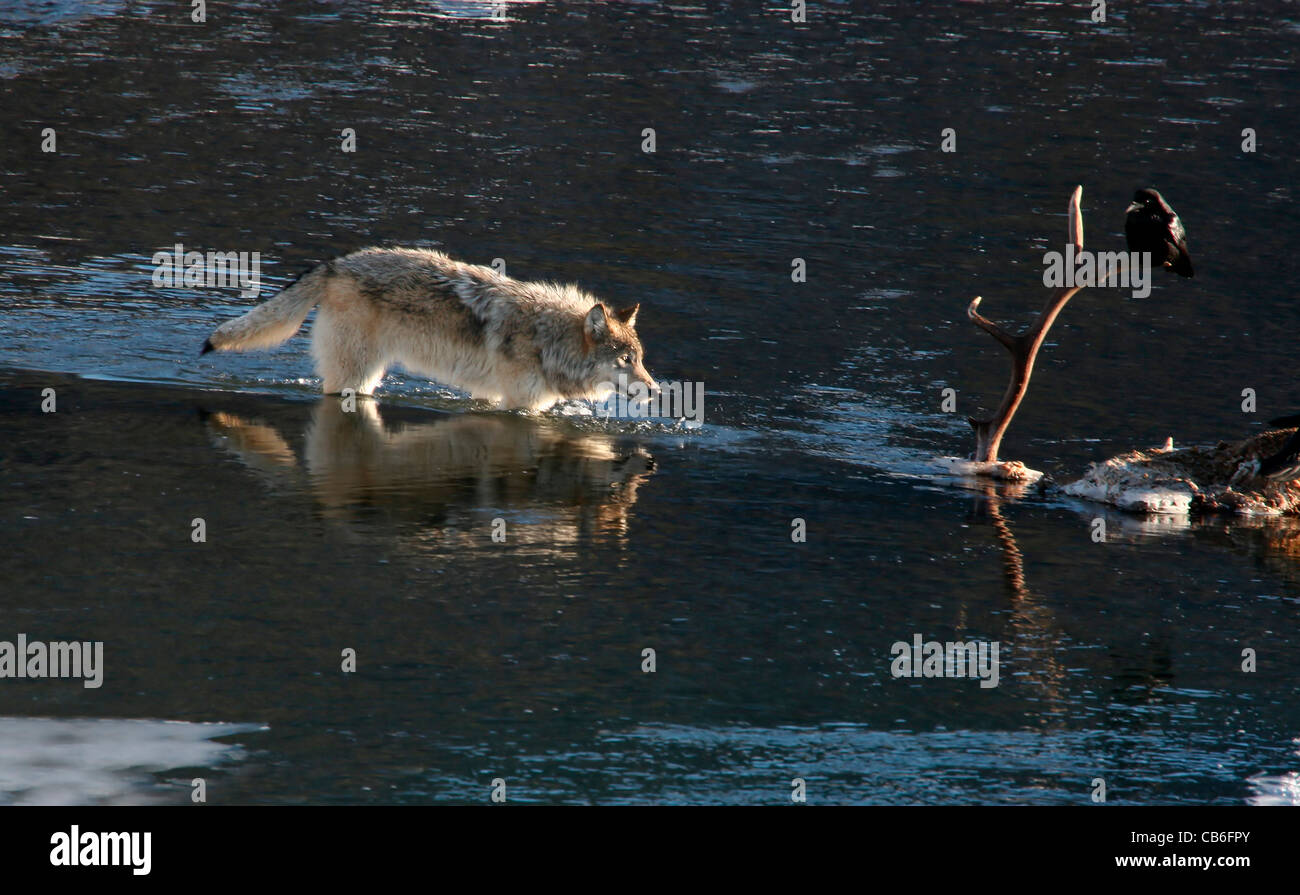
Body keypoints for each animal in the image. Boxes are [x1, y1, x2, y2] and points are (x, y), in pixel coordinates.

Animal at [202, 247, 654, 411]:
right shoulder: (519, 406)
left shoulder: (490, 395)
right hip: (356, 378)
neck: (548, 339)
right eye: (626, 360)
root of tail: (336, 264)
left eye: (640, 360)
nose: (656, 390)